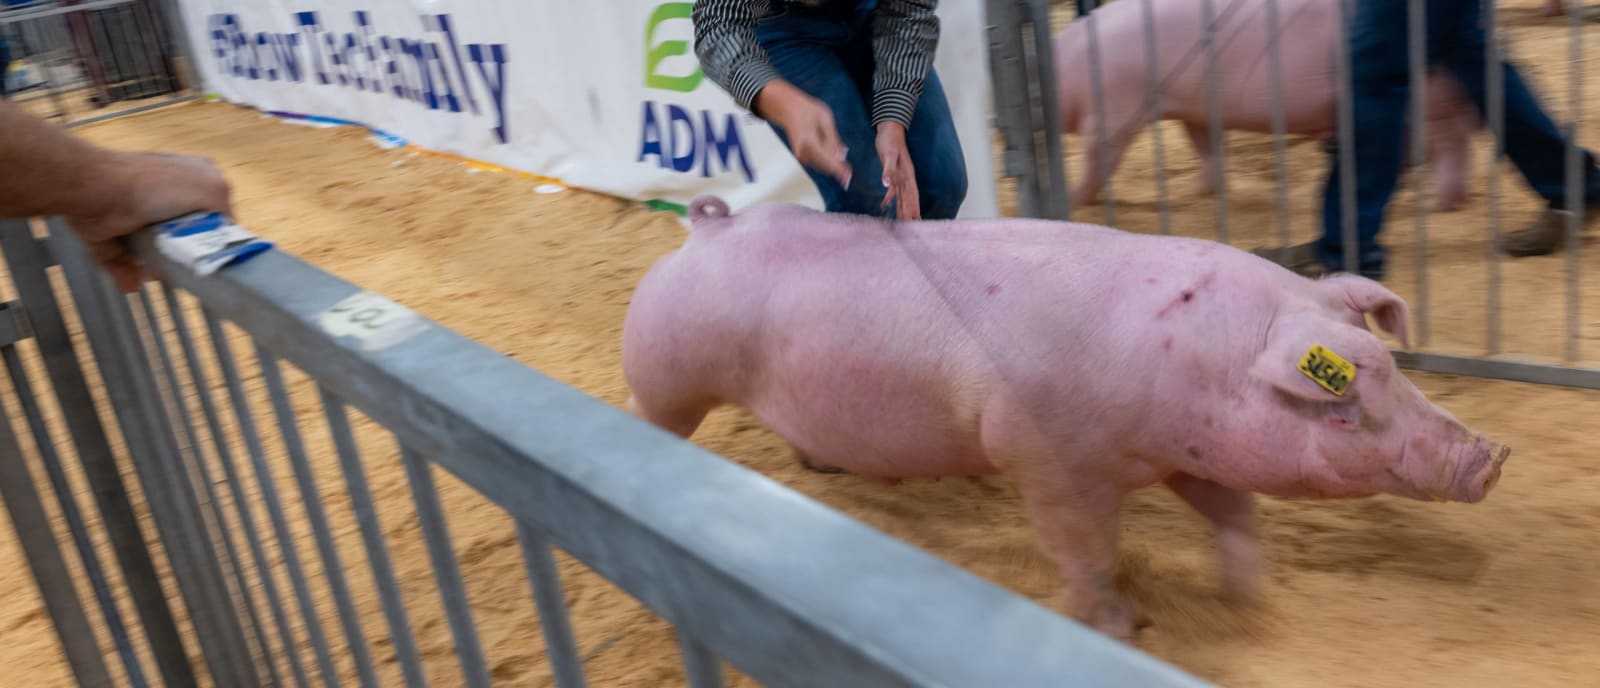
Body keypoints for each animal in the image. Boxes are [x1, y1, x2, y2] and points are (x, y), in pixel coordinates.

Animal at [621, 196, 1510, 640]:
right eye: (1353, 396)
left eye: (1395, 368)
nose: (1491, 456)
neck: (1194, 365)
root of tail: (707, 228)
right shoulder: (1042, 454)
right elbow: (1085, 552)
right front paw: (1124, 627)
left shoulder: (1189, 455)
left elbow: (1234, 520)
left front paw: (1249, 602)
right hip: (664, 371)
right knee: (651, 418)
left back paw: (823, 466)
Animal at [1053, 0, 1481, 212]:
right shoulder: (1195, 109)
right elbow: (1206, 147)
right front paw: (1202, 193)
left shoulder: (1115, 106)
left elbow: (1097, 156)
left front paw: (1073, 199)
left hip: (1429, 97)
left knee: (1449, 144)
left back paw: (1437, 203)